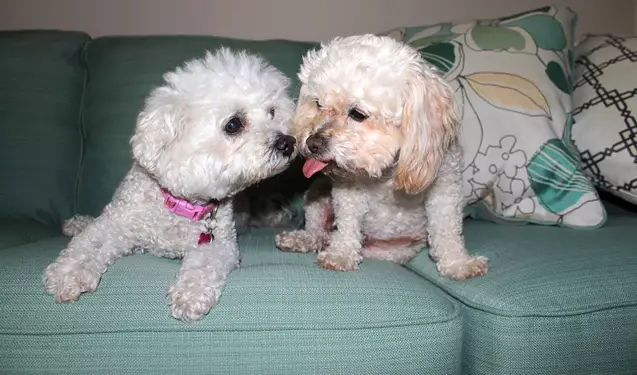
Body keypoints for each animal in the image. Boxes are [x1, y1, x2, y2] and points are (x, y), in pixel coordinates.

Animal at [43, 48, 296, 322]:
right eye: (233, 124)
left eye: (272, 112)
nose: (287, 143)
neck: (179, 204)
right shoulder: (117, 225)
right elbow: (89, 244)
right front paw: (67, 274)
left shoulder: (220, 244)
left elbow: (204, 265)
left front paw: (190, 295)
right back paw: (78, 223)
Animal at [274, 35, 486, 280]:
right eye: (318, 103)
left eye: (357, 114)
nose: (311, 143)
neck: (387, 172)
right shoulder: (348, 192)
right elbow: (347, 225)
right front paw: (341, 254)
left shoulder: (444, 187)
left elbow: (446, 229)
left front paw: (457, 263)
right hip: (317, 194)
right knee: (317, 231)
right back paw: (304, 239)